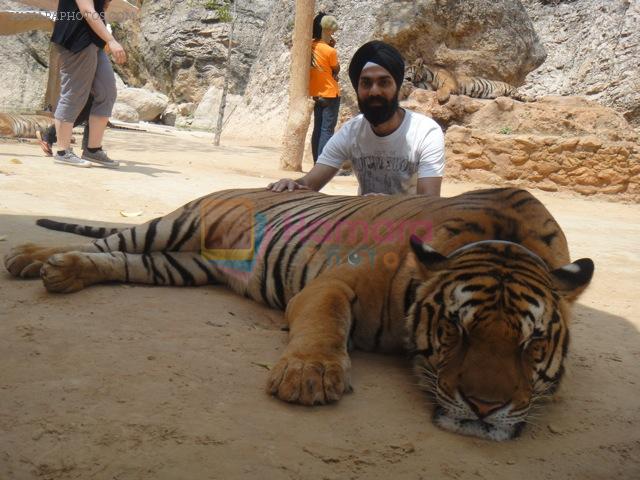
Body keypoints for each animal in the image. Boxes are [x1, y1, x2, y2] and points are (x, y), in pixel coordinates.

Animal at [3, 187, 594, 441]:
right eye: (455, 329)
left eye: (532, 345)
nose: (485, 408)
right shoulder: (332, 285)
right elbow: (324, 326)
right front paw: (308, 377)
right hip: (173, 226)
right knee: (111, 239)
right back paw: (29, 258)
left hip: (178, 265)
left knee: (119, 261)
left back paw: (62, 272)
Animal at [404, 58, 533, 104]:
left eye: (406, 68)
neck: (425, 76)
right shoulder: (427, 85)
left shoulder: (450, 83)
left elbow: (443, 88)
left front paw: (441, 97)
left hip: (510, 90)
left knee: (520, 96)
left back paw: (531, 99)